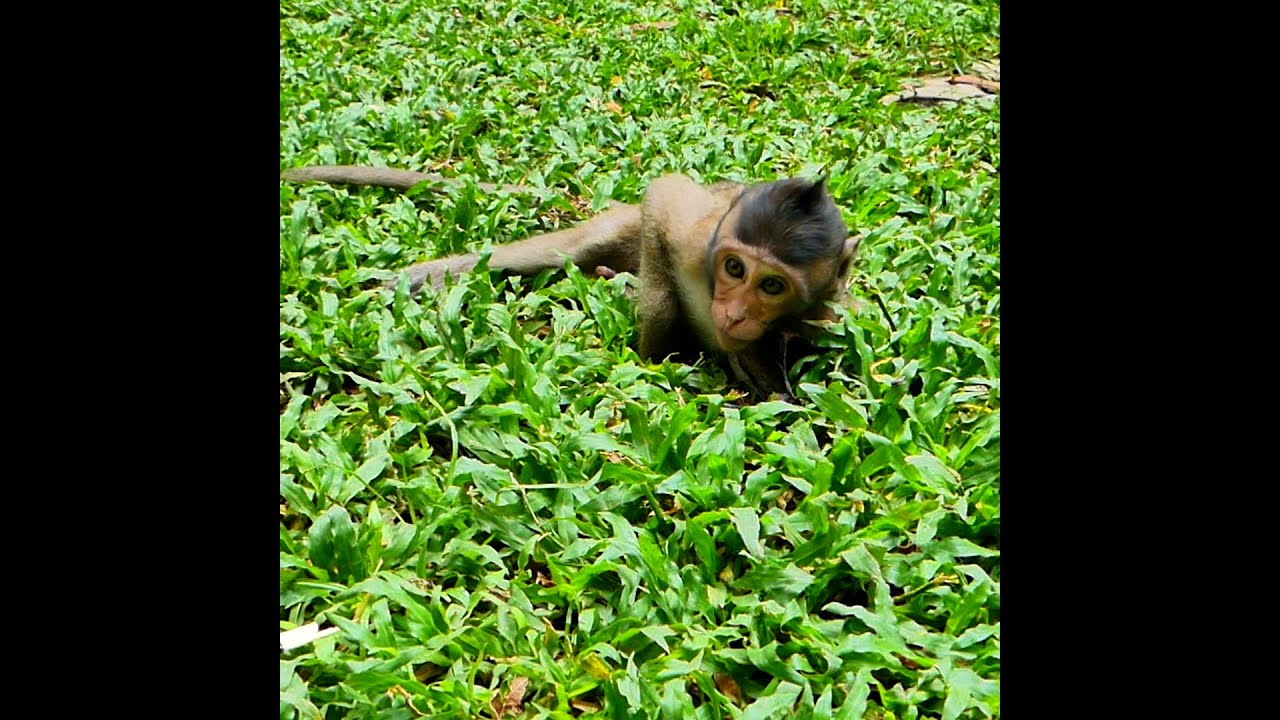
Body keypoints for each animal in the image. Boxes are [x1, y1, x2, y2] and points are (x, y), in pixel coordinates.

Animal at [282, 165, 859, 400]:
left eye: (772, 286)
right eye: (735, 269)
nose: (735, 313)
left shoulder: (830, 312)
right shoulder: (696, 238)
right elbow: (664, 197)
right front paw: (655, 352)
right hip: (621, 229)